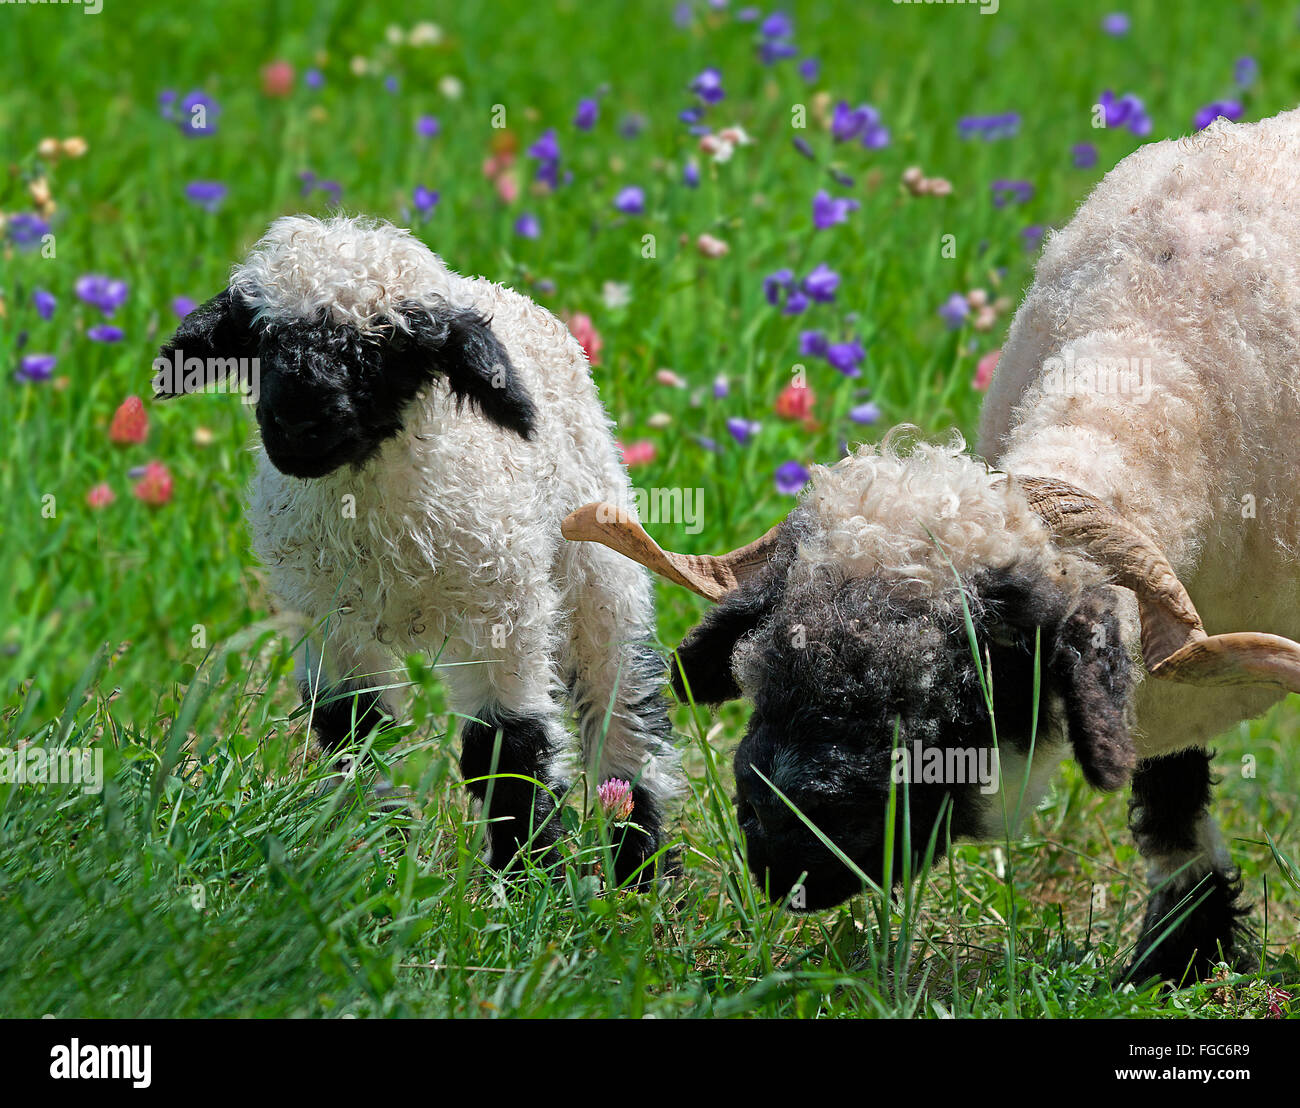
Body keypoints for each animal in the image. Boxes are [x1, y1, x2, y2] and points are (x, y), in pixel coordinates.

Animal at [154, 213, 680, 885]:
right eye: (263, 337)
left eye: (385, 348)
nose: (297, 420)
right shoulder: (327, 620)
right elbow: (356, 734)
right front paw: (373, 854)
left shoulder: (502, 613)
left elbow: (509, 748)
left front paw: (526, 878)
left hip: (599, 560)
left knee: (627, 715)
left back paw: (642, 872)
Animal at [562, 107, 1300, 980]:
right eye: (767, 665)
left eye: (973, 687)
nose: (787, 855)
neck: (1163, 351)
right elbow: (1172, 795)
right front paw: (1177, 955)